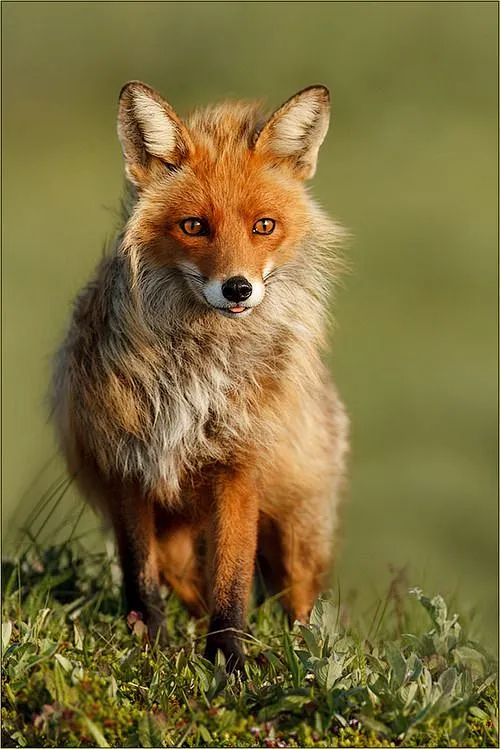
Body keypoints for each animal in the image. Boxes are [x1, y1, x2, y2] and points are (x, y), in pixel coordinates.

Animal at [51, 81, 349, 671]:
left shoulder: (238, 466)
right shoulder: (127, 463)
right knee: (185, 584)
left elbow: (231, 584)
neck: (197, 372)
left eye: (263, 226)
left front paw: (229, 663)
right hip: (176, 536)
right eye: (194, 226)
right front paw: (148, 643)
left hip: (300, 539)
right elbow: (139, 575)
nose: (238, 288)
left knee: (297, 606)